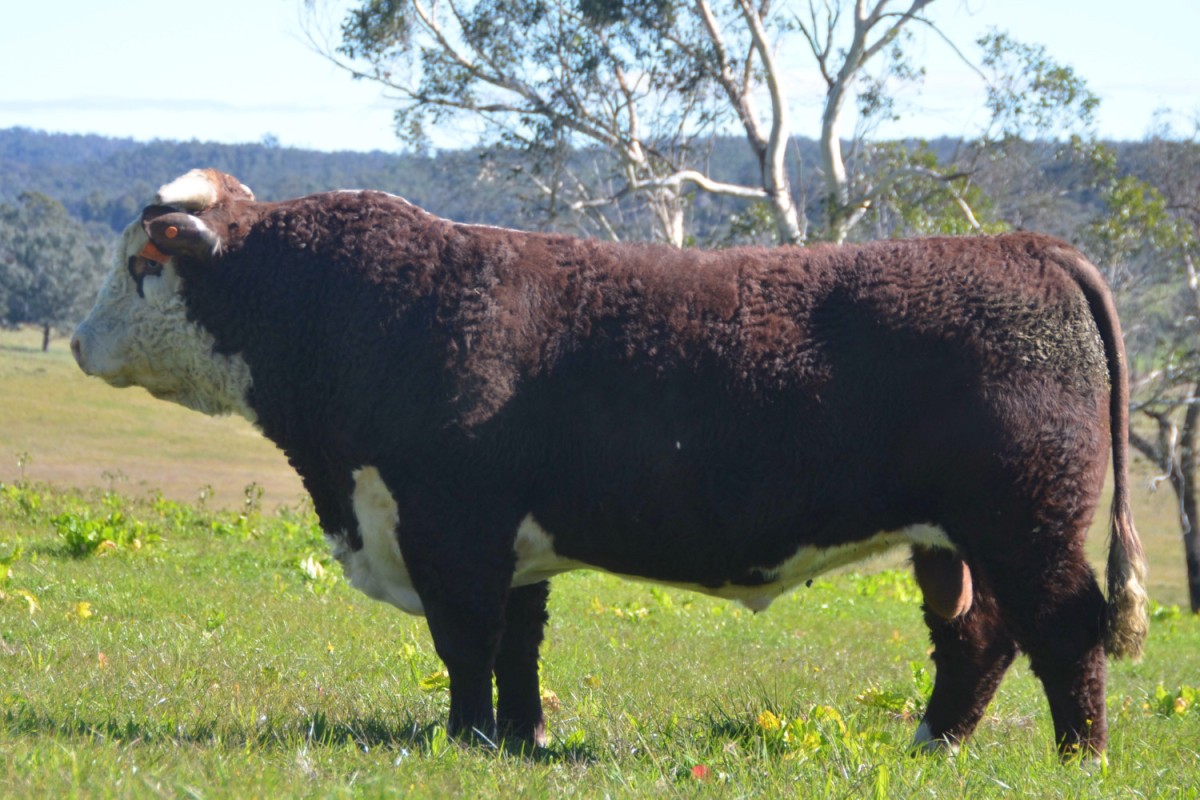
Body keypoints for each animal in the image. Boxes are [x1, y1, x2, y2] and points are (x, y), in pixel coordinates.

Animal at [71, 168, 1148, 757]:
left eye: (141, 265)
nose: (78, 343)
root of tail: (1027, 247)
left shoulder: (450, 525)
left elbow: (466, 644)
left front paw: (464, 739)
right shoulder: (507, 544)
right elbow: (517, 647)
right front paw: (519, 738)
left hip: (1027, 522)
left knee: (1065, 628)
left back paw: (1079, 758)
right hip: (957, 540)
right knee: (979, 636)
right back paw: (934, 744)